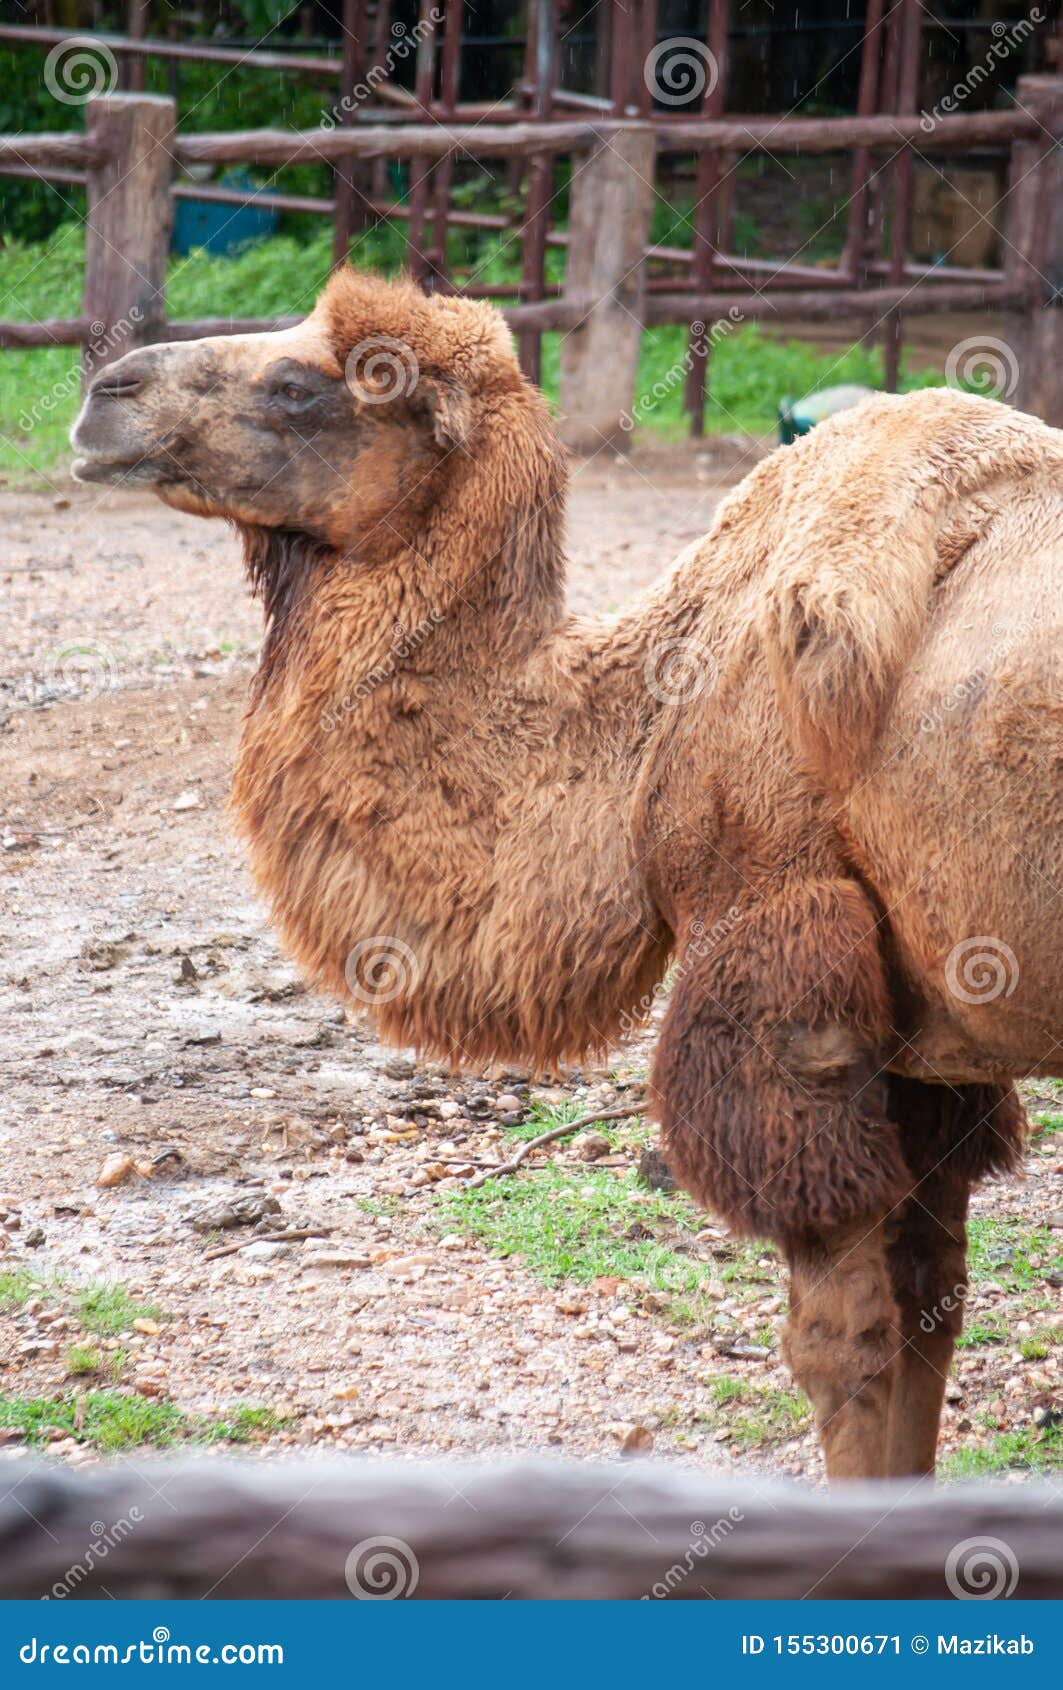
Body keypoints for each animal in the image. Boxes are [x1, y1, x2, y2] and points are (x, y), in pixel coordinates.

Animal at [71, 267, 1063, 1483]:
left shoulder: (784, 967)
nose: (104, 396)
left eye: (302, 384)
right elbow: (932, 1308)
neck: (645, 712)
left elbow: (845, 1347)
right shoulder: (923, 1043)